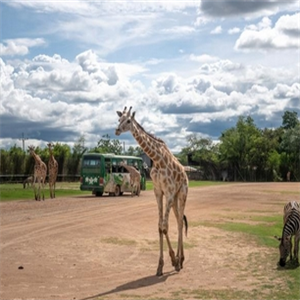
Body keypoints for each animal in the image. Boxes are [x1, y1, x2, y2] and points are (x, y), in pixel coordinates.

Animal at [116, 106, 189, 276]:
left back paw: (180, 261)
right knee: (179, 220)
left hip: (181, 193)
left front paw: (173, 260)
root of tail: (185, 173)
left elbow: (165, 227)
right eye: (119, 119)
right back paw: (180, 259)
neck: (157, 159)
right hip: (174, 197)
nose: (117, 130)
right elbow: (159, 227)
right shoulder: (159, 192)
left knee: (180, 222)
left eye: (128, 121)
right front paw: (161, 266)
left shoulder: (168, 192)